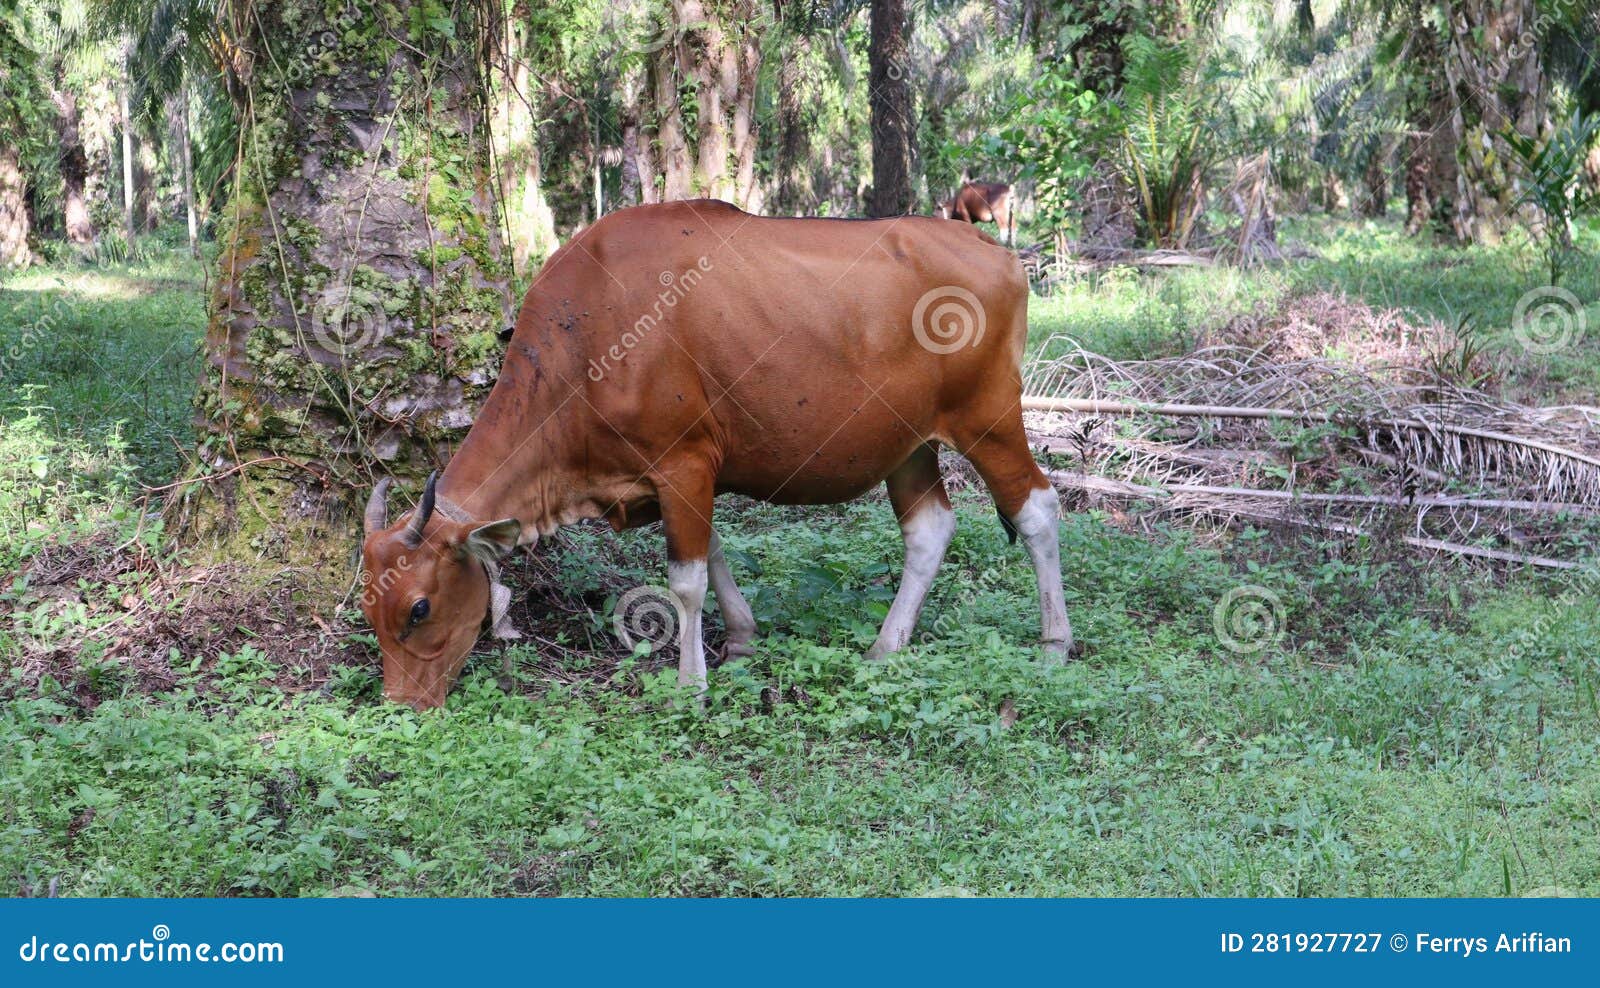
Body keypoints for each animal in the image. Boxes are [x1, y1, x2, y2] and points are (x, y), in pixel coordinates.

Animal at [359, 199, 1071, 709]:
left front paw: (690, 683)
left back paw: (1054, 644)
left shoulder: (684, 462)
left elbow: (685, 580)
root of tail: (992, 248)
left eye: (418, 608)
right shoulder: (678, 478)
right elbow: (715, 553)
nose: (401, 704)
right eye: (368, 609)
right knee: (929, 530)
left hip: (989, 418)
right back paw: (886, 646)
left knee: (1037, 509)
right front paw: (741, 641)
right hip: (909, 445)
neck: (584, 342)